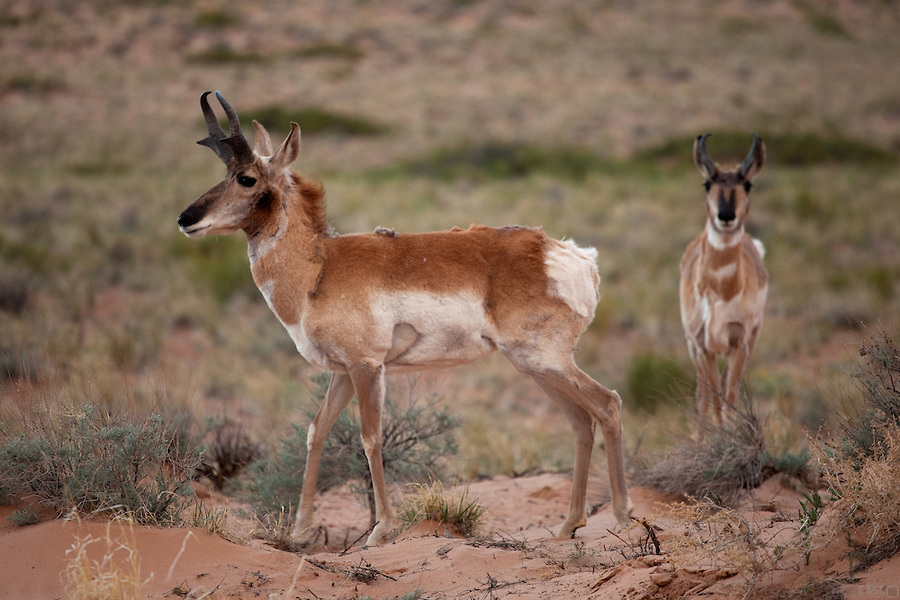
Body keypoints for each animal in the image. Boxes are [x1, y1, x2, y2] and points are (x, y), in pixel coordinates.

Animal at [177, 92, 633, 547]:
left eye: (246, 178)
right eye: (225, 172)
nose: (185, 219)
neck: (320, 266)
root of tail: (571, 256)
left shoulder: (367, 367)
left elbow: (371, 437)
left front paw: (381, 529)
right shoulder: (343, 373)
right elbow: (316, 431)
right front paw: (301, 530)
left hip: (545, 361)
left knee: (607, 404)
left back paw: (623, 515)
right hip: (537, 367)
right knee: (581, 422)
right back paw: (569, 524)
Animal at [679, 133, 768, 432]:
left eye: (748, 184)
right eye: (707, 183)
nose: (726, 215)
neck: (720, 291)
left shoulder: (740, 343)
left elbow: (729, 397)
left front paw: (731, 433)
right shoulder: (703, 345)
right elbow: (714, 398)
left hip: (748, 343)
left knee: (730, 387)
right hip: (694, 349)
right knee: (703, 395)